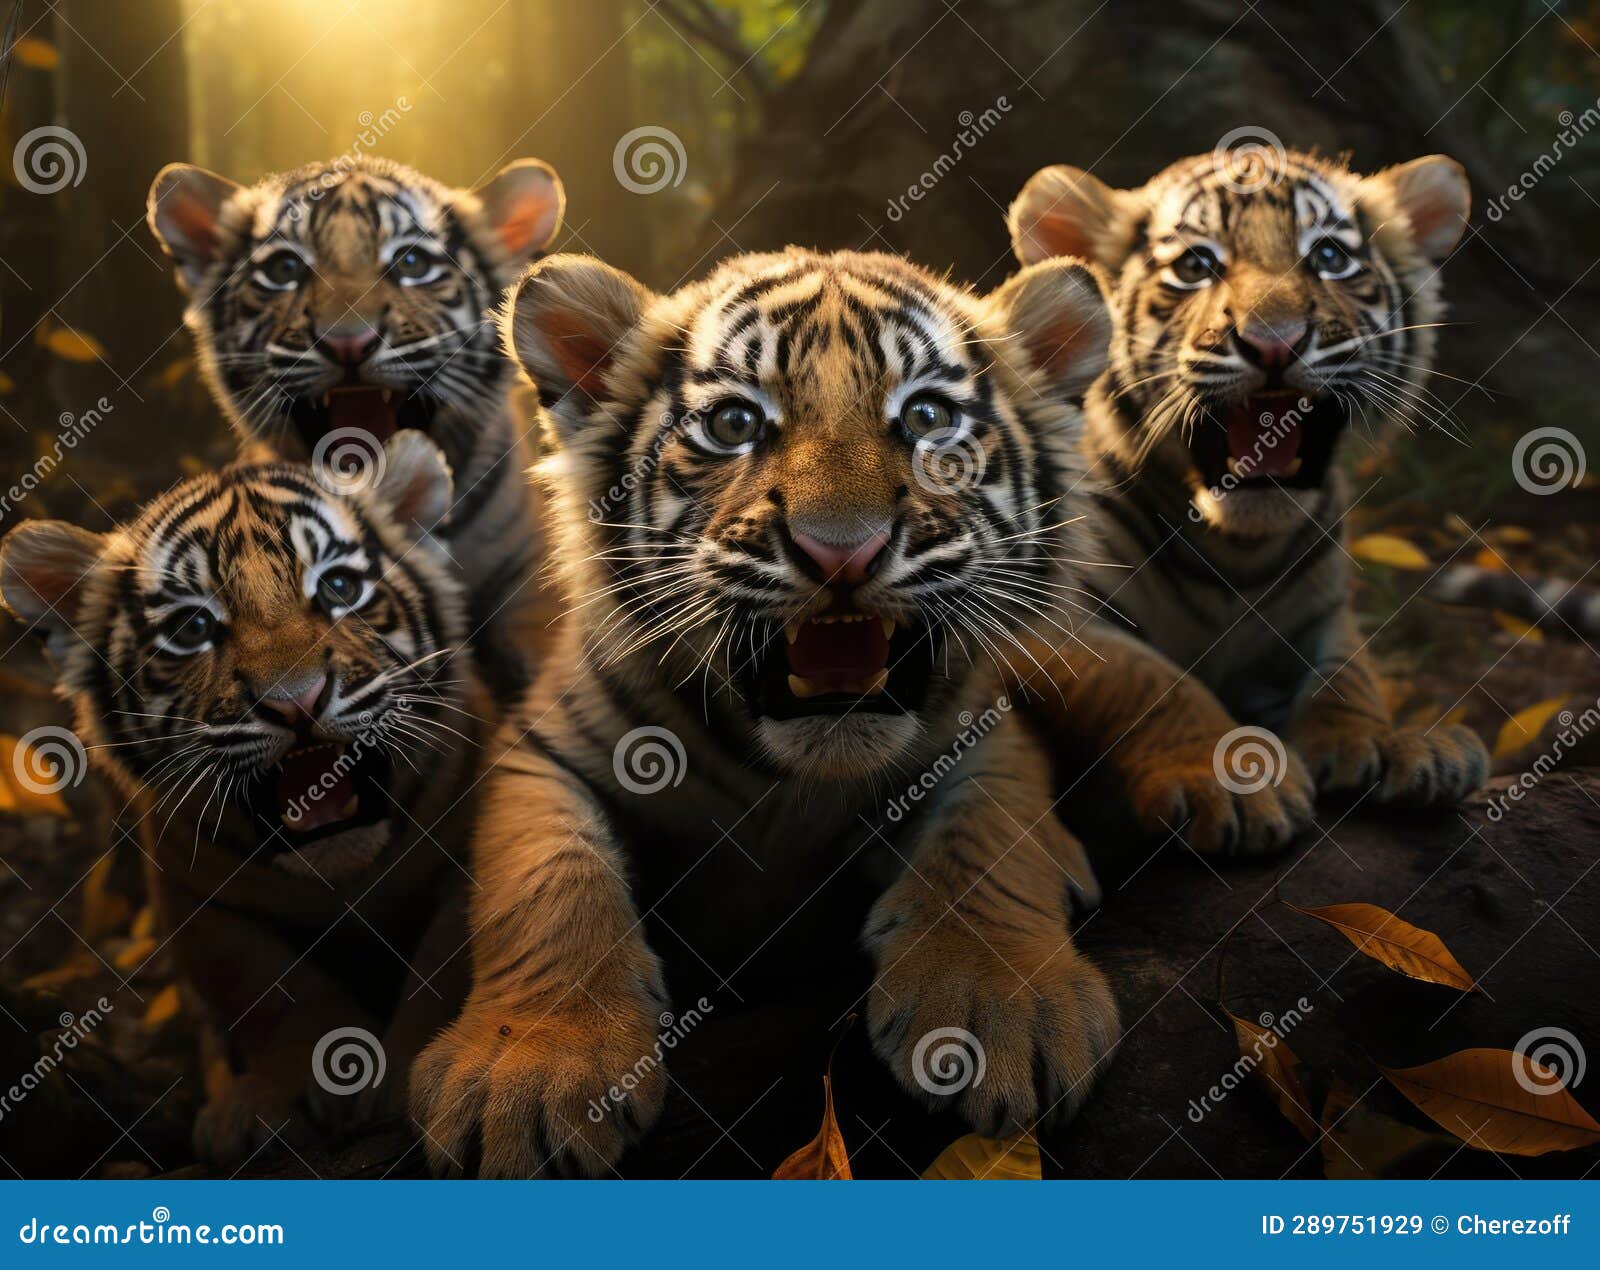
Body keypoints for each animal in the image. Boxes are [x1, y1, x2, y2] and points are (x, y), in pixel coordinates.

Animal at [0, 434, 488, 1166]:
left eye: (339, 588)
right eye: (193, 627)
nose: (296, 701)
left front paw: (417, 1072)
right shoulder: (198, 896)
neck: (339, 879)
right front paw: (262, 1107)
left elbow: (446, 962)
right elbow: (265, 989)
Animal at [407, 247, 1123, 1178]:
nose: (842, 550)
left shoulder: (984, 734)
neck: (792, 782)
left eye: (927, 415)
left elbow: (991, 835)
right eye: (734, 423)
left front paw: (1002, 1006)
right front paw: (529, 1075)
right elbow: (549, 878)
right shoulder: (543, 751)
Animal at [1005, 147, 1489, 818]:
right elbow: (1152, 681)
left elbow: (1348, 675)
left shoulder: (1325, 611)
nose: (1275, 343)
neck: (1236, 552)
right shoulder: (1056, 625)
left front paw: (1389, 742)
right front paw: (1224, 780)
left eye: (1329, 257)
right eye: (1195, 265)